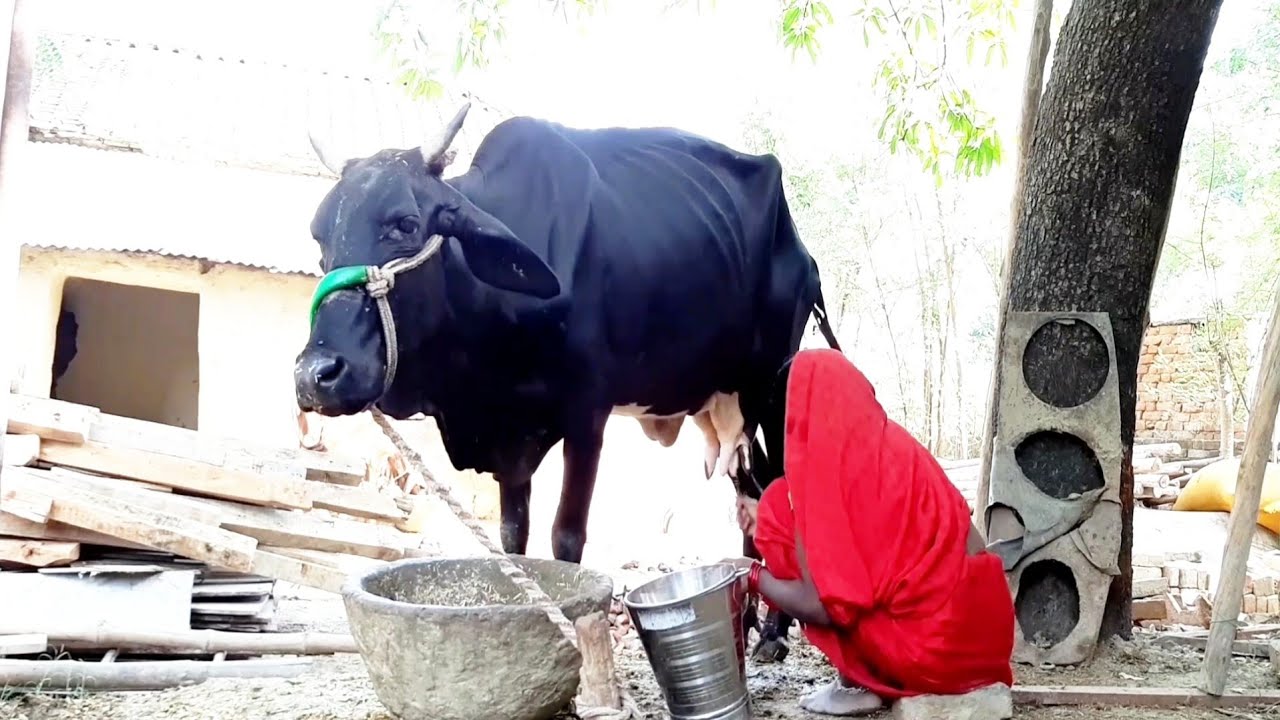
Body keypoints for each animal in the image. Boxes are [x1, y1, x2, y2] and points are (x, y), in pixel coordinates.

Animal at [293, 103, 840, 661]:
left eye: (404, 222)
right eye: (319, 239)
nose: (316, 374)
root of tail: (803, 251)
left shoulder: (586, 417)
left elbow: (566, 539)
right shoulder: (510, 437)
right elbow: (514, 537)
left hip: (770, 387)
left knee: (779, 488)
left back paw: (773, 632)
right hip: (723, 406)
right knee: (748, 493)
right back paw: (746, 617)